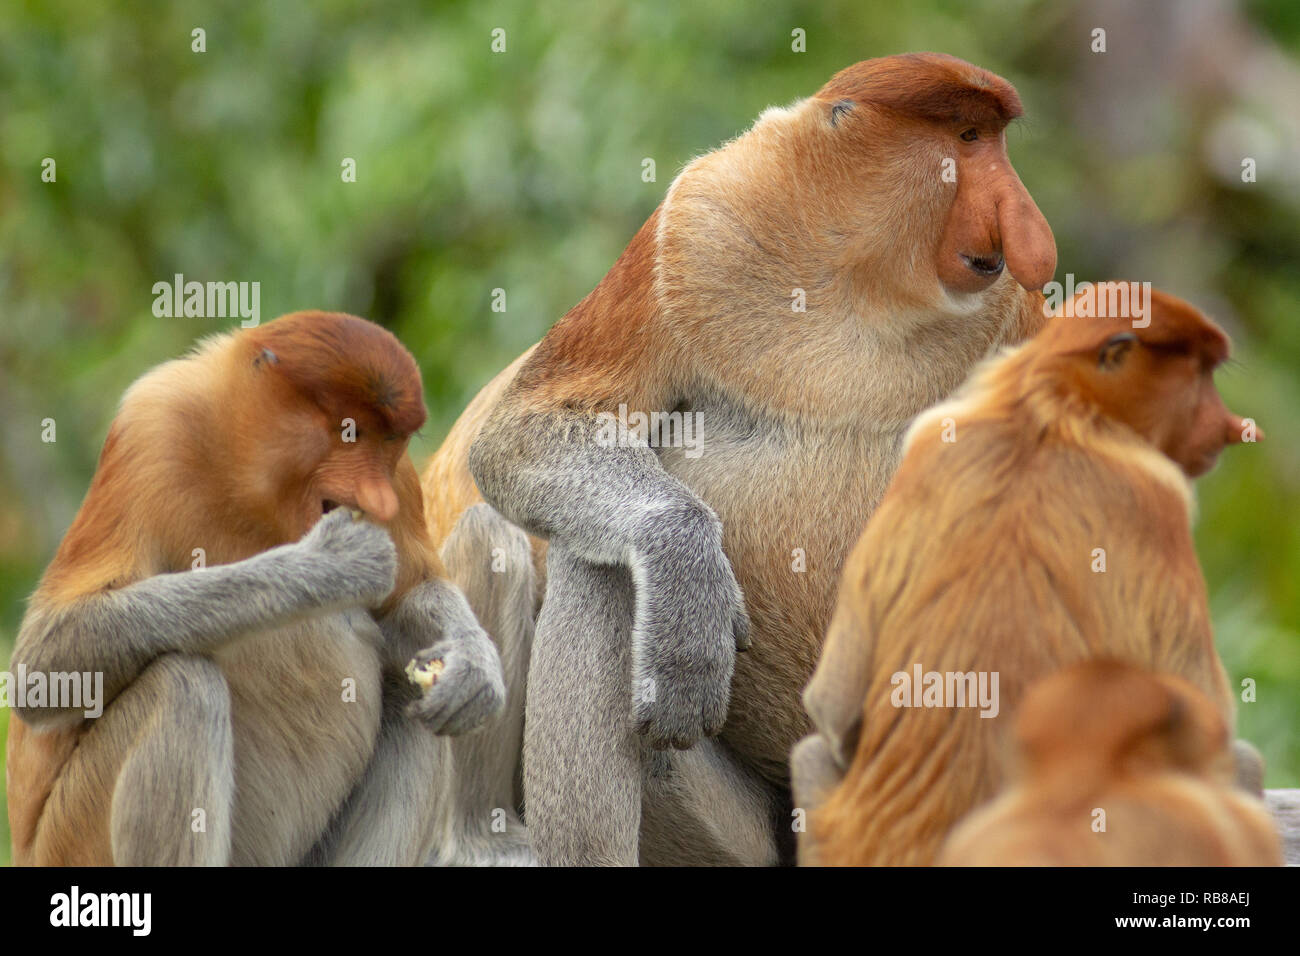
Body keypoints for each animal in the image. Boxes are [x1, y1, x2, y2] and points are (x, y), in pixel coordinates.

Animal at [5, 311, 506, 866]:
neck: (248, 485)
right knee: (181, 686)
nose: (380, 501)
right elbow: (45, 663)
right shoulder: (149, 428)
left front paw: (474, 666)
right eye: (349, 431)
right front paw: (328, 562)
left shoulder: (401, 482)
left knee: (406, 691)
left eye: (392, 442)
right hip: (71, 836)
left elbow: (410, 598)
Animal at [422, 52, 1057, 864]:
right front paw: (687, 585)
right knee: (600, 566)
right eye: (969, 139)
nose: (1028, 231)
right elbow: (529, 427)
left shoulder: (1021, 317)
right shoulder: (690, 233)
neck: (863, 281)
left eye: (993, 140)